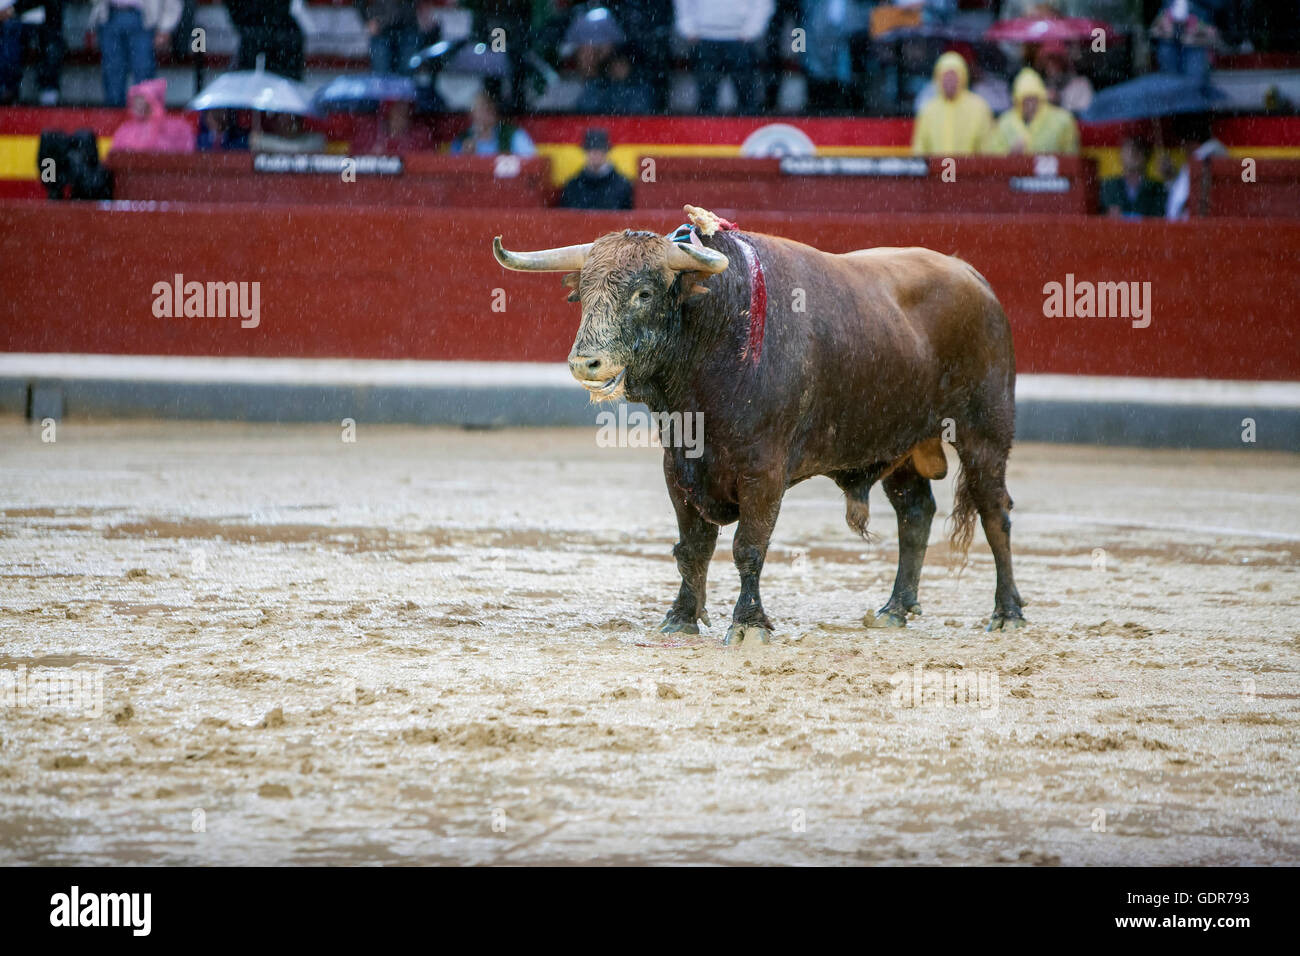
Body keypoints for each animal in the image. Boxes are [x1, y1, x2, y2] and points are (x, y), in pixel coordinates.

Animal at [493, 205, 1025, 643]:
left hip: (985, 430)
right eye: (582, 293)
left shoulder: (764, 472)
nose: (586, 362)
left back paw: (1007, 613)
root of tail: (972, 276)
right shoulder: (678, 468)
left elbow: (748, 547)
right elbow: (693, 547)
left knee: (994, 510)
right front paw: (681, 618)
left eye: (643, 292)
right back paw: (895, 608)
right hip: (900, 443)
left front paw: (749, 625)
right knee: (914, 512)